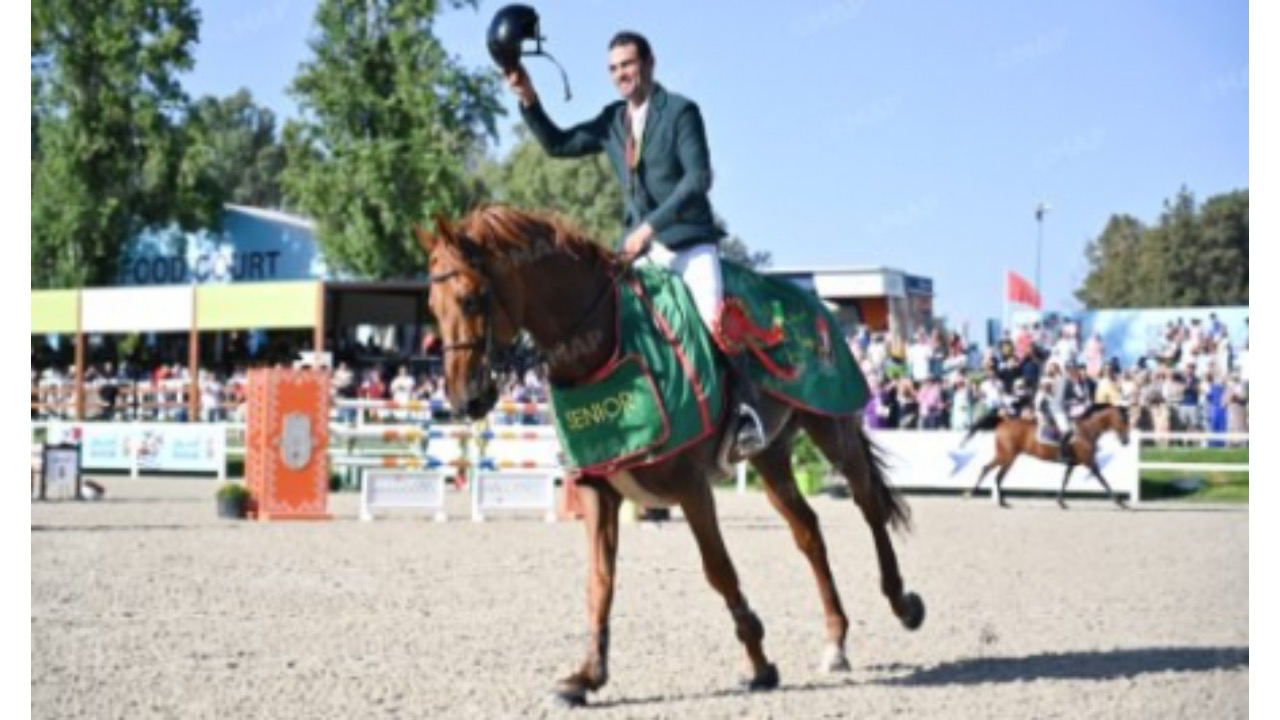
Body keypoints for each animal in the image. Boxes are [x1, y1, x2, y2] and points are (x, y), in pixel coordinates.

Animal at [416, 206, 925, 706]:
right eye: (432, 309)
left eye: (472, 299)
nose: (464, 400)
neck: (603, 346)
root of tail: (820, 305)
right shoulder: (597, 489)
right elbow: (599, 580)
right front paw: (586, 677)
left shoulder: (691, 487)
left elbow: (719, 571)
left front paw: (760, 664)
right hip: (772, 455)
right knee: (809, 532)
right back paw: (835, 641)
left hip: (830, 426)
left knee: (868, 504)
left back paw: (904, 604)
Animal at [963, 403, 1131, 509]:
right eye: (1123, 421)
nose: (1126, 441)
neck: (1087, 431)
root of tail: (1003, 421)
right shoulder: (1089, 462)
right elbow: (1104, 481)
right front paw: (1121, 503)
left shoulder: (1072, 464)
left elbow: (1065, 481)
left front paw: (1061, 502)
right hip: (1007, 456)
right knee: (992, 472)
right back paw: (978, 495)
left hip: (1006, 457)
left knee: (992, 473)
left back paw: (998, 501)